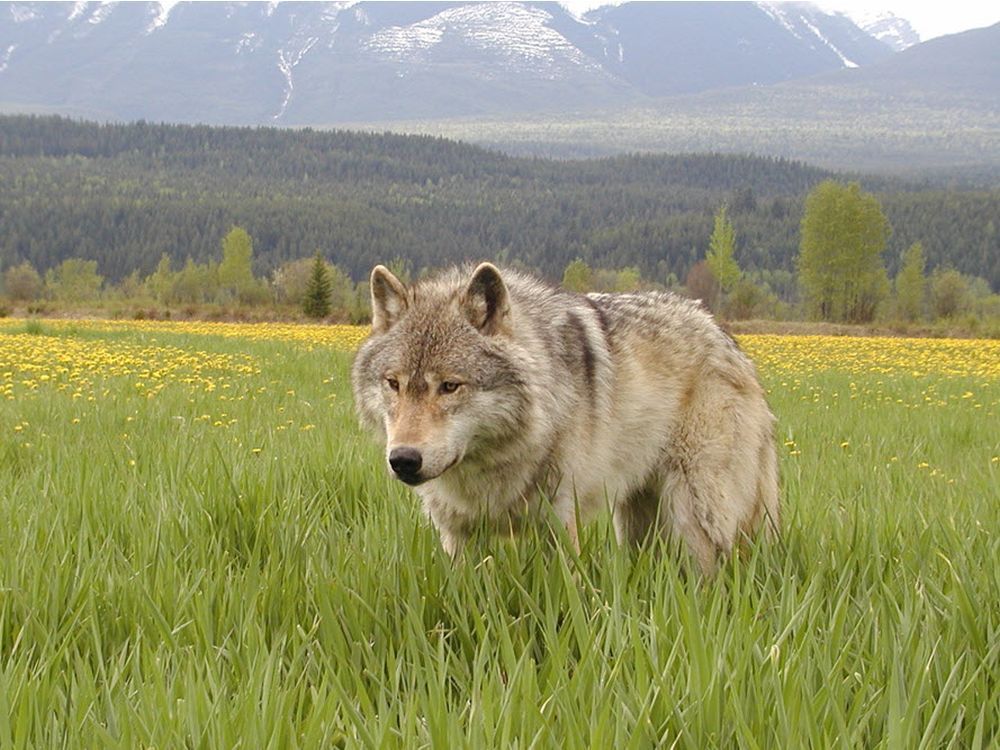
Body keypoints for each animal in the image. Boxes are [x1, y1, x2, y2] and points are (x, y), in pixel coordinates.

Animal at [351, 262, 779, 574]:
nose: (404, 459)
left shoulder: (558, 522)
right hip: (635, 520)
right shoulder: (457, 535)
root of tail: (724, 334)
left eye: (450, 386)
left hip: (694, 514)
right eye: (394, 384)